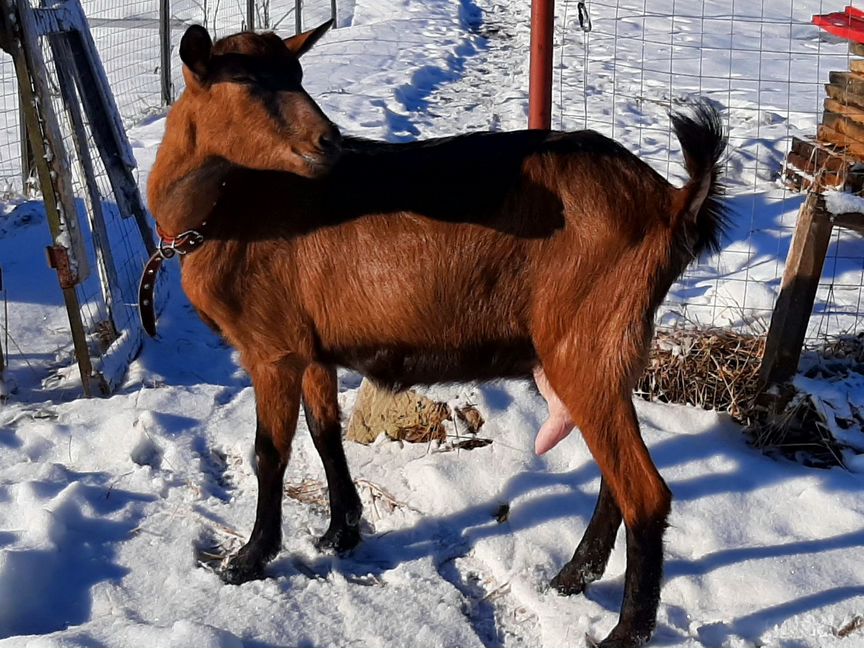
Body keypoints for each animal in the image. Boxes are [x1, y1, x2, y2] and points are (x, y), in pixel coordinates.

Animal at [146, 22, 727, 648]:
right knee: (613, 476)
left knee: (644, 491)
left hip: (588, 342)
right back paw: (574, 575)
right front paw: (340, 533)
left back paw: (626, 630)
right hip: (604, 352)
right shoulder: (311, 347)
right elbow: (324, 433)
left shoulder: (270, 349)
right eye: (248, 84)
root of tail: (672, 202)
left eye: (296, 75)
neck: (225, 208)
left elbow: (269, 452)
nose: (331, 144)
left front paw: (248, 560)